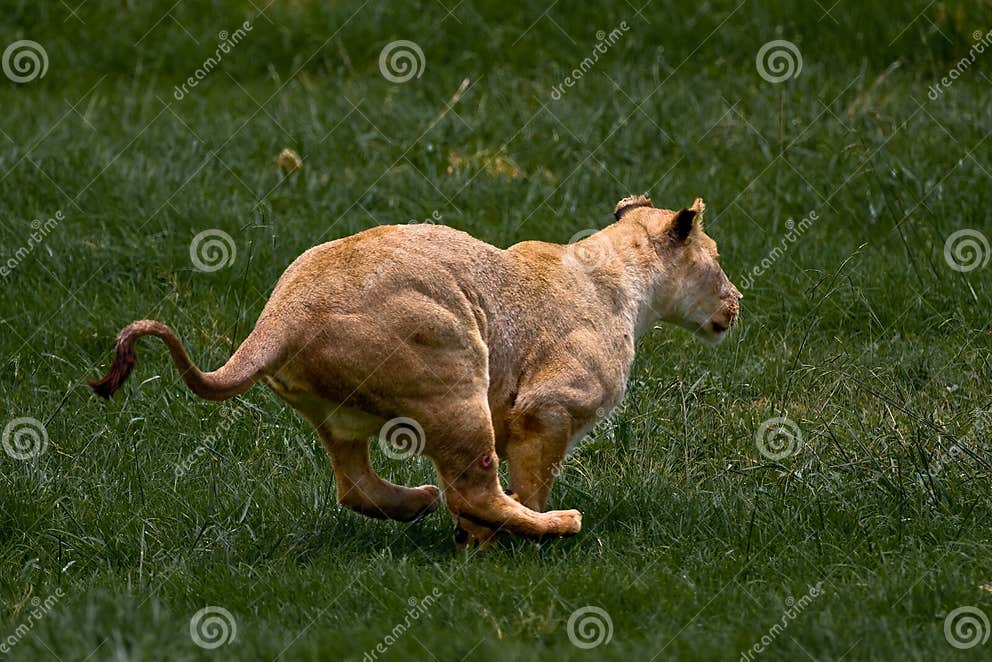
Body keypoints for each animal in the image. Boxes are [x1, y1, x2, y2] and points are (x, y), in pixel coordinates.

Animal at [89, 195, 741, 550]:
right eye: (717, 260)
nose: (738, 301)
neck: (626, 283)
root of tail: (280, 314)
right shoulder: (549, 406)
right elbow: (530, 478)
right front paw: (522, 535)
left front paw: (475, 543)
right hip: (455, 381)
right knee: (475, 490)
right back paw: (551, 525)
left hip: (342, 417)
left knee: (356, 486)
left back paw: (421, 506)